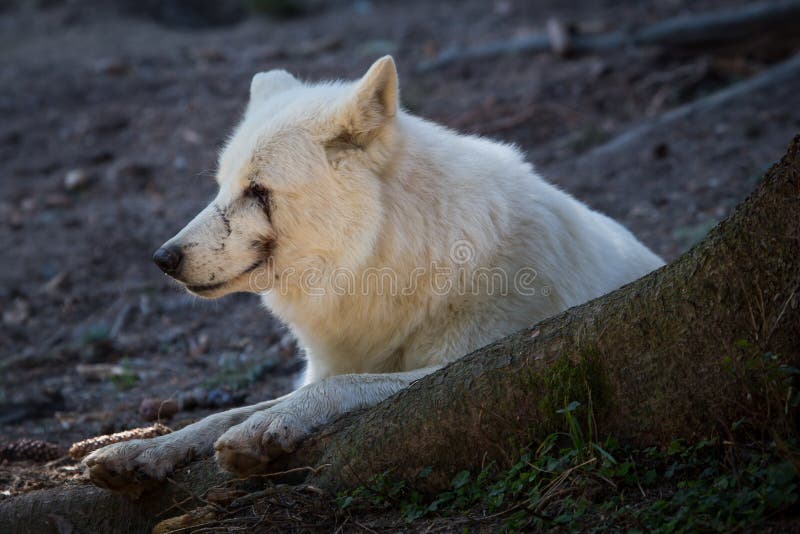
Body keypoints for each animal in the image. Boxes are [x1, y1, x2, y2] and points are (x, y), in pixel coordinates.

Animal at [84, 56, 664, 491]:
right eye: (222, 187)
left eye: (258, 191)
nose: (163, 258)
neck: (389, 264)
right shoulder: (327, 361)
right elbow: (218, 415)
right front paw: (143, 450)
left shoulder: (479, 361)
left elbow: (342, 386)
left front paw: (267, 428)